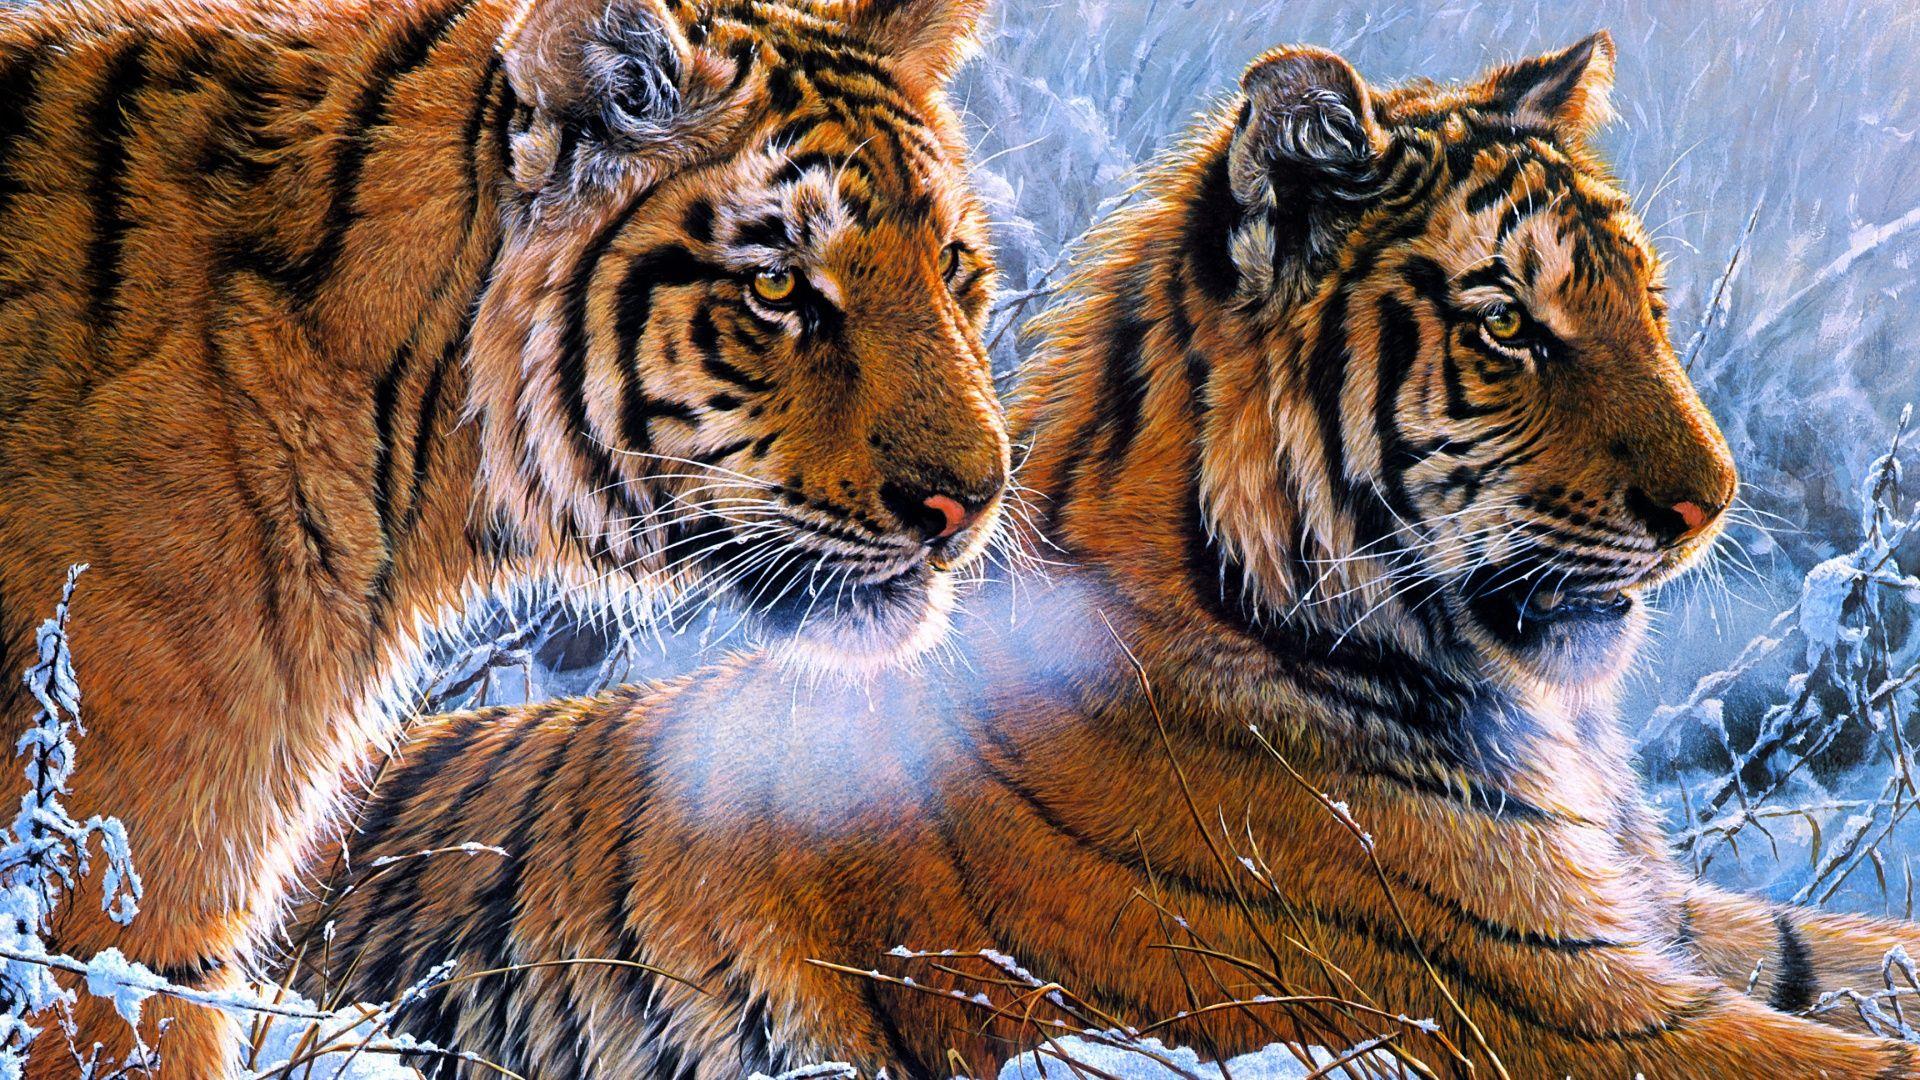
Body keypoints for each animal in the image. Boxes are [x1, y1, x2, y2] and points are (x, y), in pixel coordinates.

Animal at [293, 31, 1920, 1080]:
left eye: (1648, 302)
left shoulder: (1663, 919)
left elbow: (1862, 951)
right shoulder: (1536, 1004)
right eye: (1507, 323)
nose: (1711, 504)